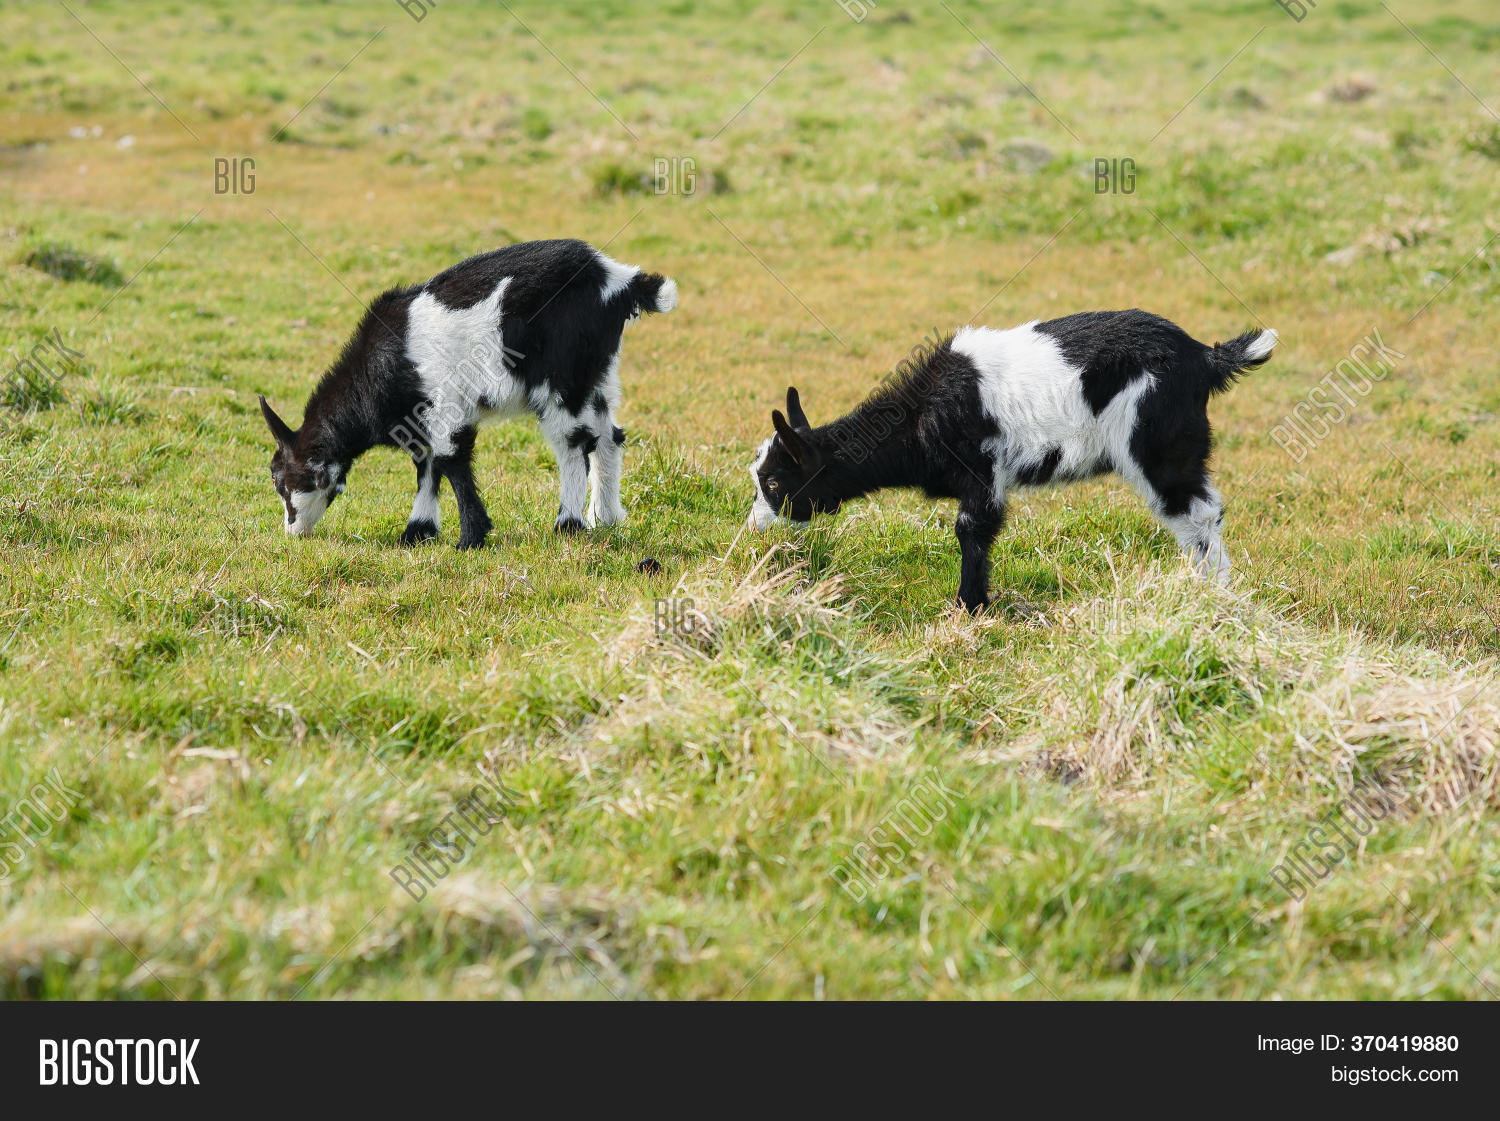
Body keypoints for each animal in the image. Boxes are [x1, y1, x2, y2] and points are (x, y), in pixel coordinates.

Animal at [259, 238, 677, 547]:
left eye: (281, 480)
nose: (292, 531)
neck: (382, 365)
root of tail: (617, 281)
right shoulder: (421, 417)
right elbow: (426, 466)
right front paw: (418, 533)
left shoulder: (444, 404)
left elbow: (449, 460)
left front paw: (471, 537)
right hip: (597, 375)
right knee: (609, 437)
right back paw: (606, 519)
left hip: (561, 378)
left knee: (573, 442)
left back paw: (568, 524)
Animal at [746, 310, 1277, 612]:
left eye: (773, 485)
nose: (753, 529)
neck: (922, 415)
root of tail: (1205, 358)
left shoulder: (983, 472)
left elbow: (971, 530)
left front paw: (970, 607)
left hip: (1160, 444)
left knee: (1195, 513)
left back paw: (1212, 597)